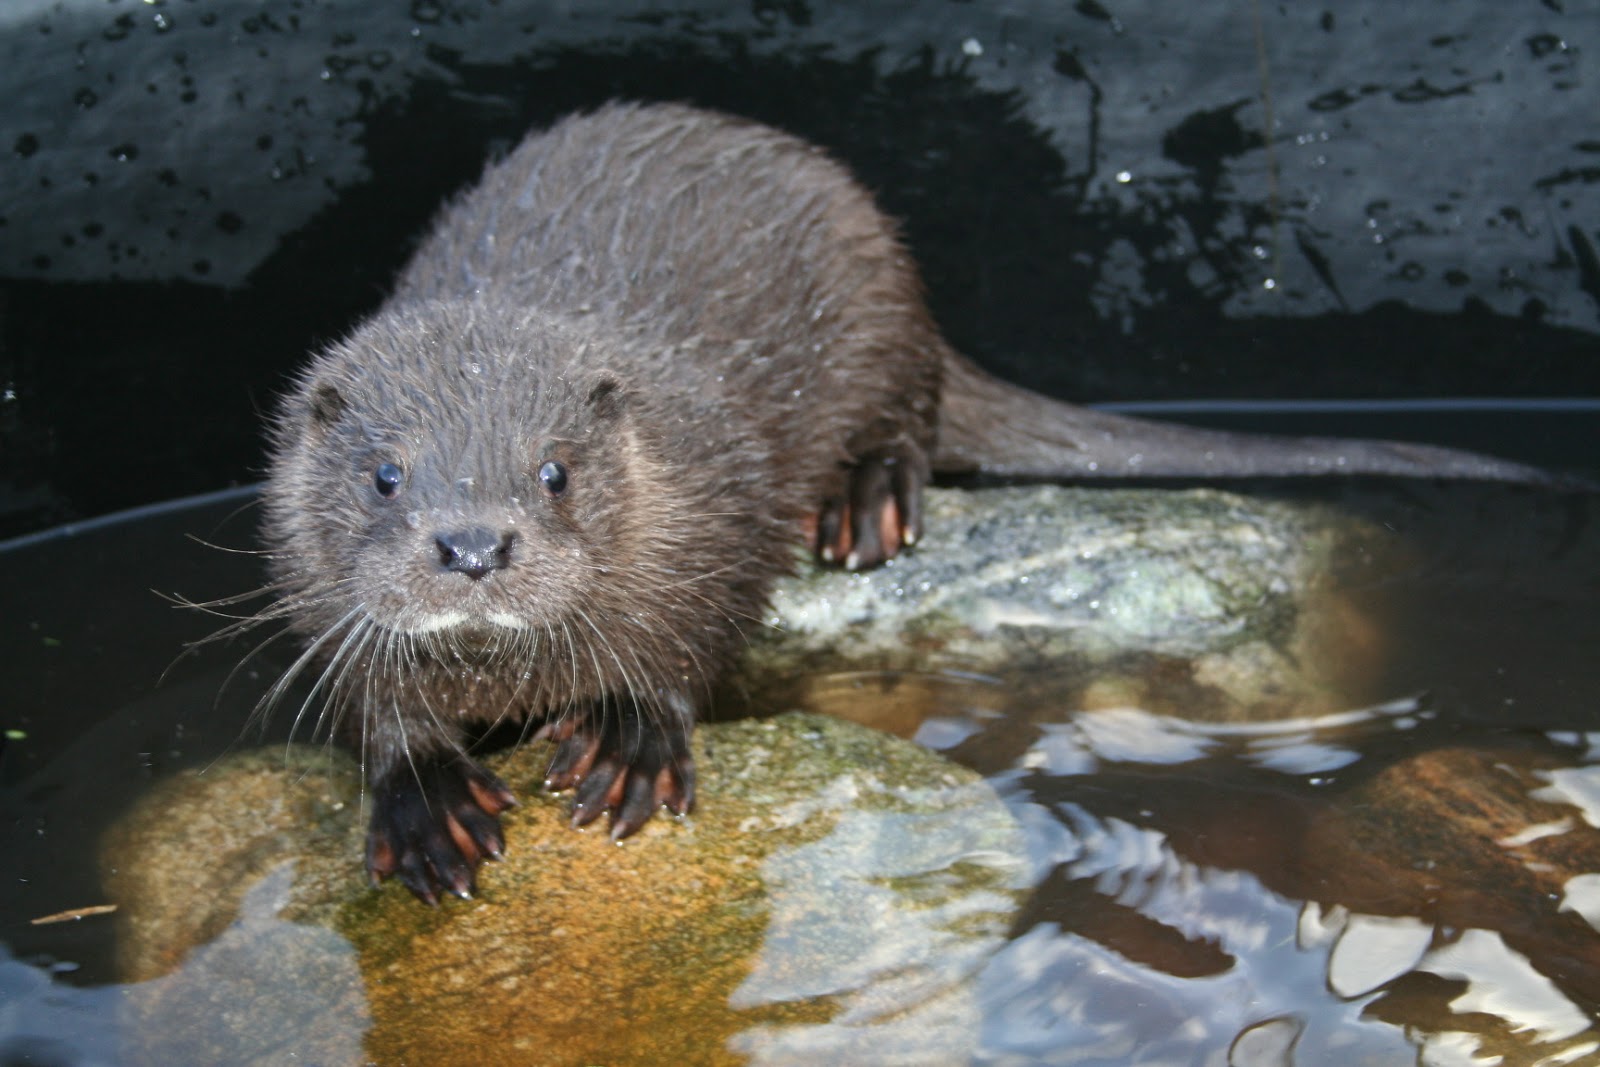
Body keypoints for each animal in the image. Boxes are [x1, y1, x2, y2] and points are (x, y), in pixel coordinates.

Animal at [261, 102, 1561, 903]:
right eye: (386, 474)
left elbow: (701, 636)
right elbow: (374, 708)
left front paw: (632, 742)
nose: (473, 545)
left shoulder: (725, 508)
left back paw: (868, 501)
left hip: (880, 306)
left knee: (913, 415)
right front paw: (424, 806)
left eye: (553, 470)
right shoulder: (312, 596)